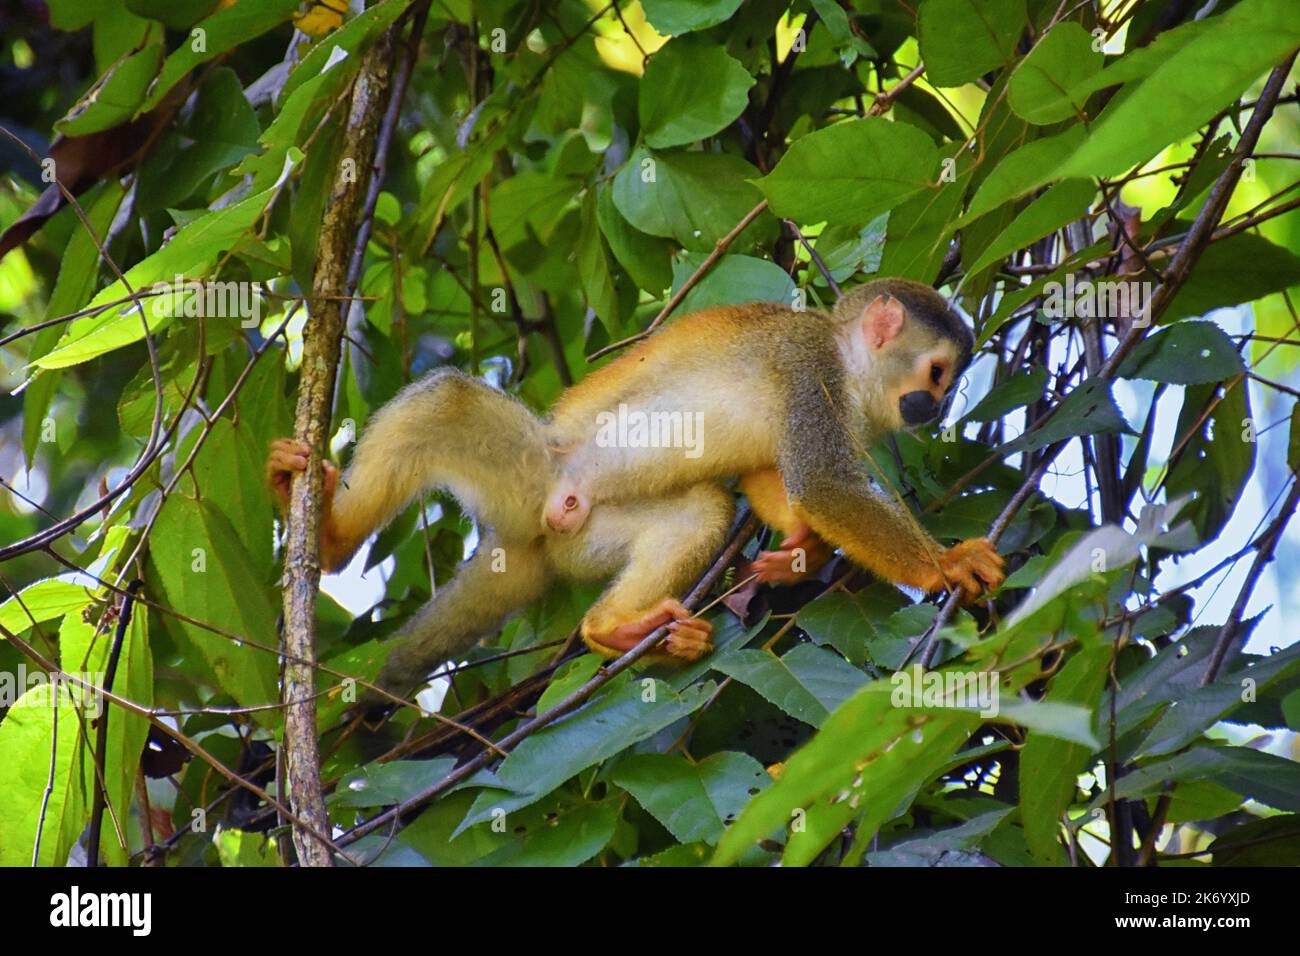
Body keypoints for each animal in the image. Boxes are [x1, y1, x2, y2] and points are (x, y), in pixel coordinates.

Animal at [267, 277, 1004, 699]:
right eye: (938, 373)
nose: (938, 408)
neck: (850, 369)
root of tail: (527, 540)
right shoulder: (810, 369)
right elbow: (823, 483)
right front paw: (946, 564)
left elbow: (774, 475)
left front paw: (801, 551)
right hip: (532, 473)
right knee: (445, 401)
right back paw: (329, 540)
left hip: (582, 532)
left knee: (702, 507)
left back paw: (613, 627)